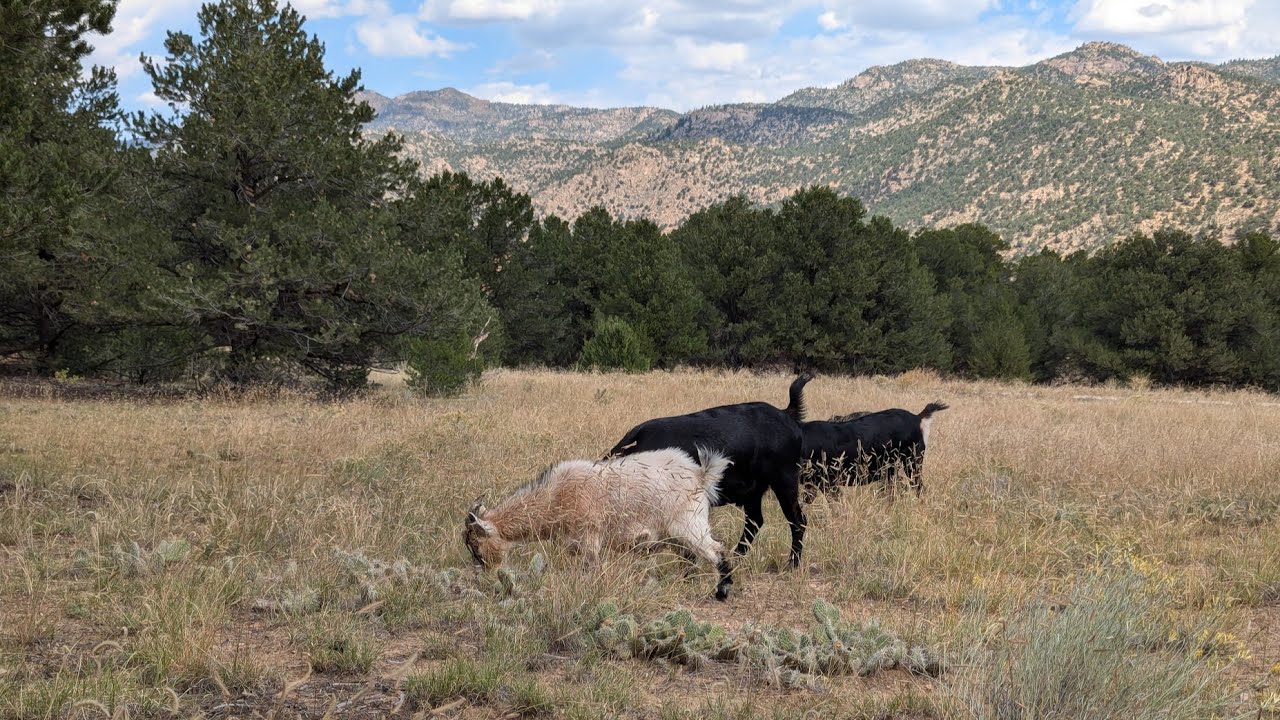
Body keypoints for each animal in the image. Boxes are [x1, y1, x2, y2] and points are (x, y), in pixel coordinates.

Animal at [464, 448, 736, 600]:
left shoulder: (590, 537)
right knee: (690, 557)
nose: (483, 575)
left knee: (716, 550)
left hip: (689, 524)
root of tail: (700, 475)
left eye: (476, 547)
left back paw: (721, 591)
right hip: (677, 534)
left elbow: (590, 570)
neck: (555, 496)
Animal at [606, 374, 812, 568]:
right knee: (755, 521)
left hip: (785, 482)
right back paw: (736, 559)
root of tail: (787, 414)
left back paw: (792, 564)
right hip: (754, 492)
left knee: (797, 520)